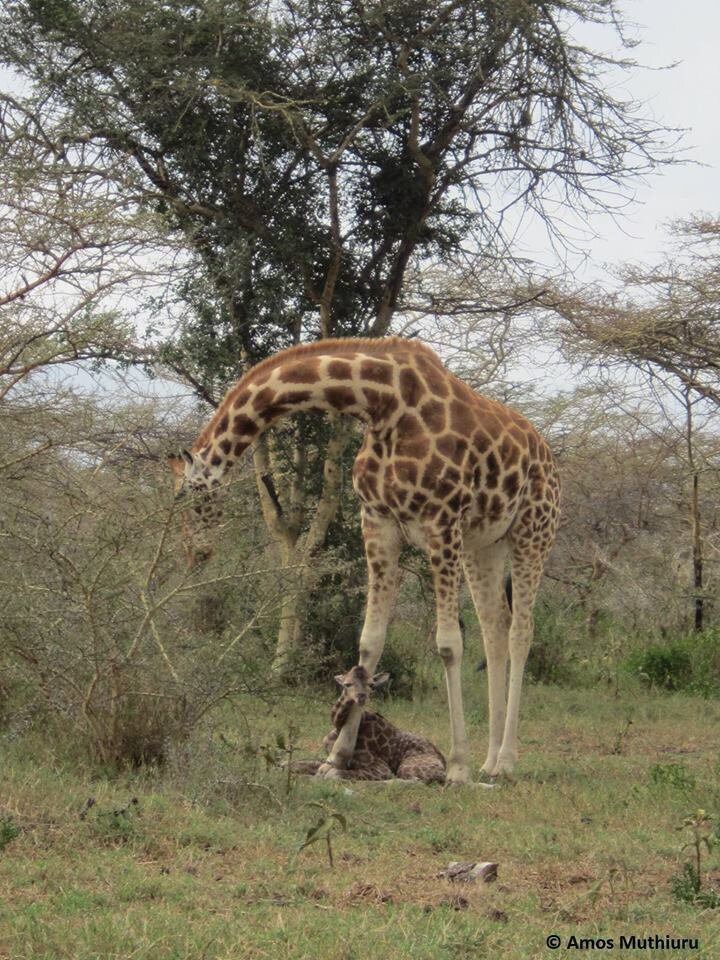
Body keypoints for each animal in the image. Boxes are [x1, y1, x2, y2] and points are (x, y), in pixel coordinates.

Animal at [292, 665, 447, 783]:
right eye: (347, 684)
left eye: (371, 685)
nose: (361, 696)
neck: (339, 727)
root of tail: (445, 767)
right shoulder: (330, 758)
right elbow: (295, 763)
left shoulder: (381, 767)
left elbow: (333, 774)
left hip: (407, 767)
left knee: (413, 780)